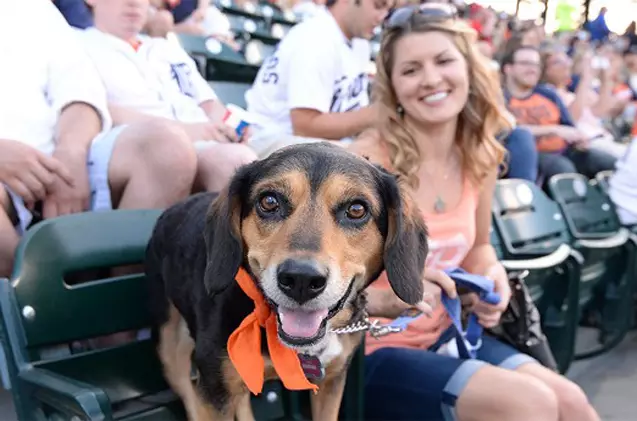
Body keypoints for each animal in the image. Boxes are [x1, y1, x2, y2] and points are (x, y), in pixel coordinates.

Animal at [145, 142, 428, 420]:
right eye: (269, 201)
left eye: (357, 209)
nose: (301, 279)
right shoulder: (215, 389)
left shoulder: (332, 381)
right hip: (169, 349)